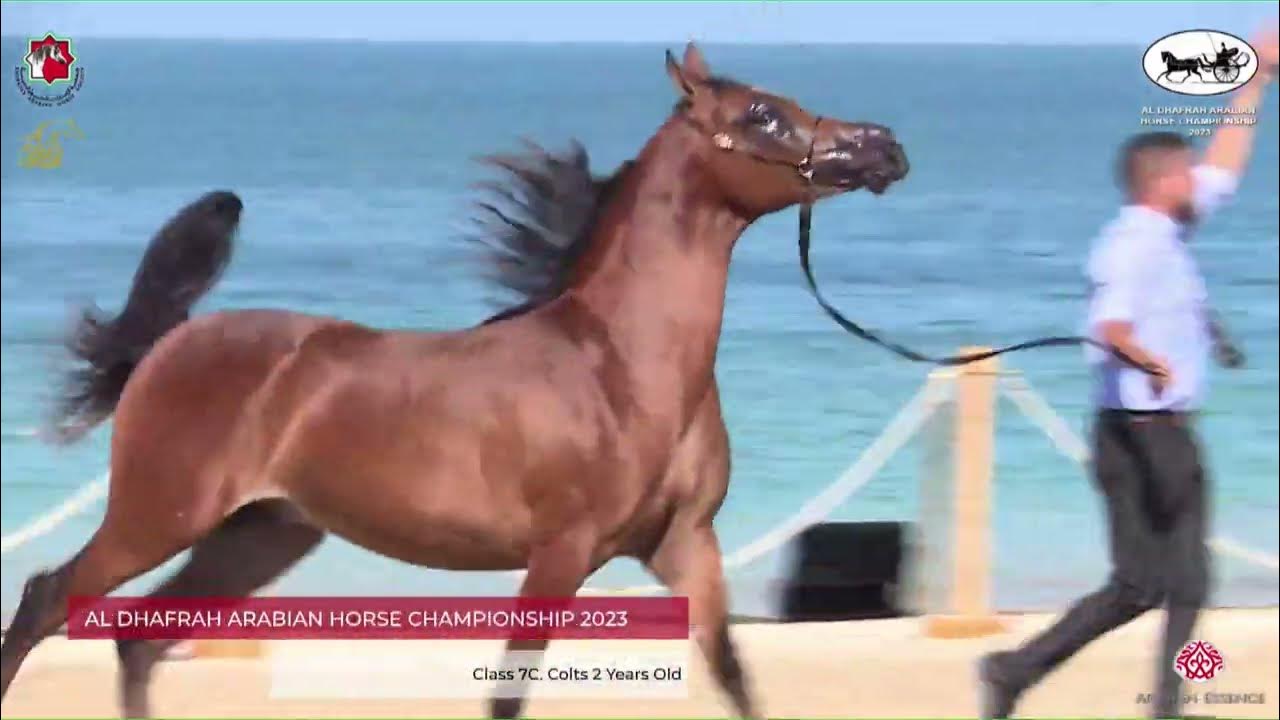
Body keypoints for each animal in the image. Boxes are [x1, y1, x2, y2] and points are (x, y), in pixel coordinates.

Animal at [0, 43, 908, 719]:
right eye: (762, 116)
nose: (885, 148)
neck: (621, 364)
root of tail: (171, 345)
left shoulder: (685, 544)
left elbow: (734, 676)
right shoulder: (562, 553)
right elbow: (508, 691)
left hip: (255, 535)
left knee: (140, 638)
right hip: (160, 514)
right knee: (48, 599)